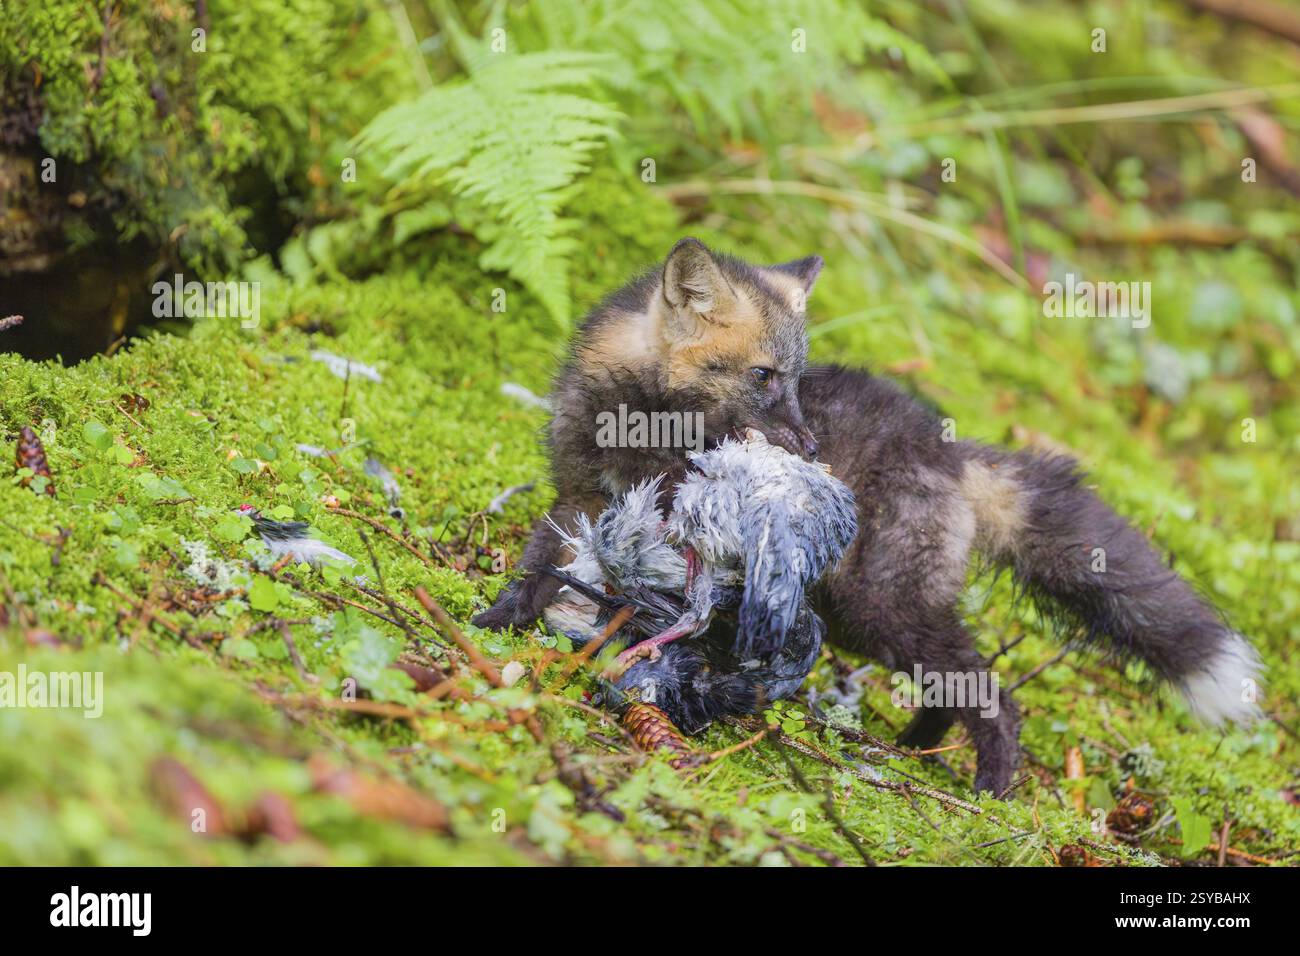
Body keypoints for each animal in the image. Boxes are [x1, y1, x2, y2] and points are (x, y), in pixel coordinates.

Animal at [475, 236, 1263, 794]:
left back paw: (989, 788)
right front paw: (492, 625)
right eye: (764, 376)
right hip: (869, 617)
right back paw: (911, 749)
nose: (809, 448)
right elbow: (538, 571)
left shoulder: (679, 539)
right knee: (956, 685)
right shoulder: (576, 500)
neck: (638, 428)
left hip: (878, 608)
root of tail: (951, 451)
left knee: (993, 691)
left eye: (795, 380)